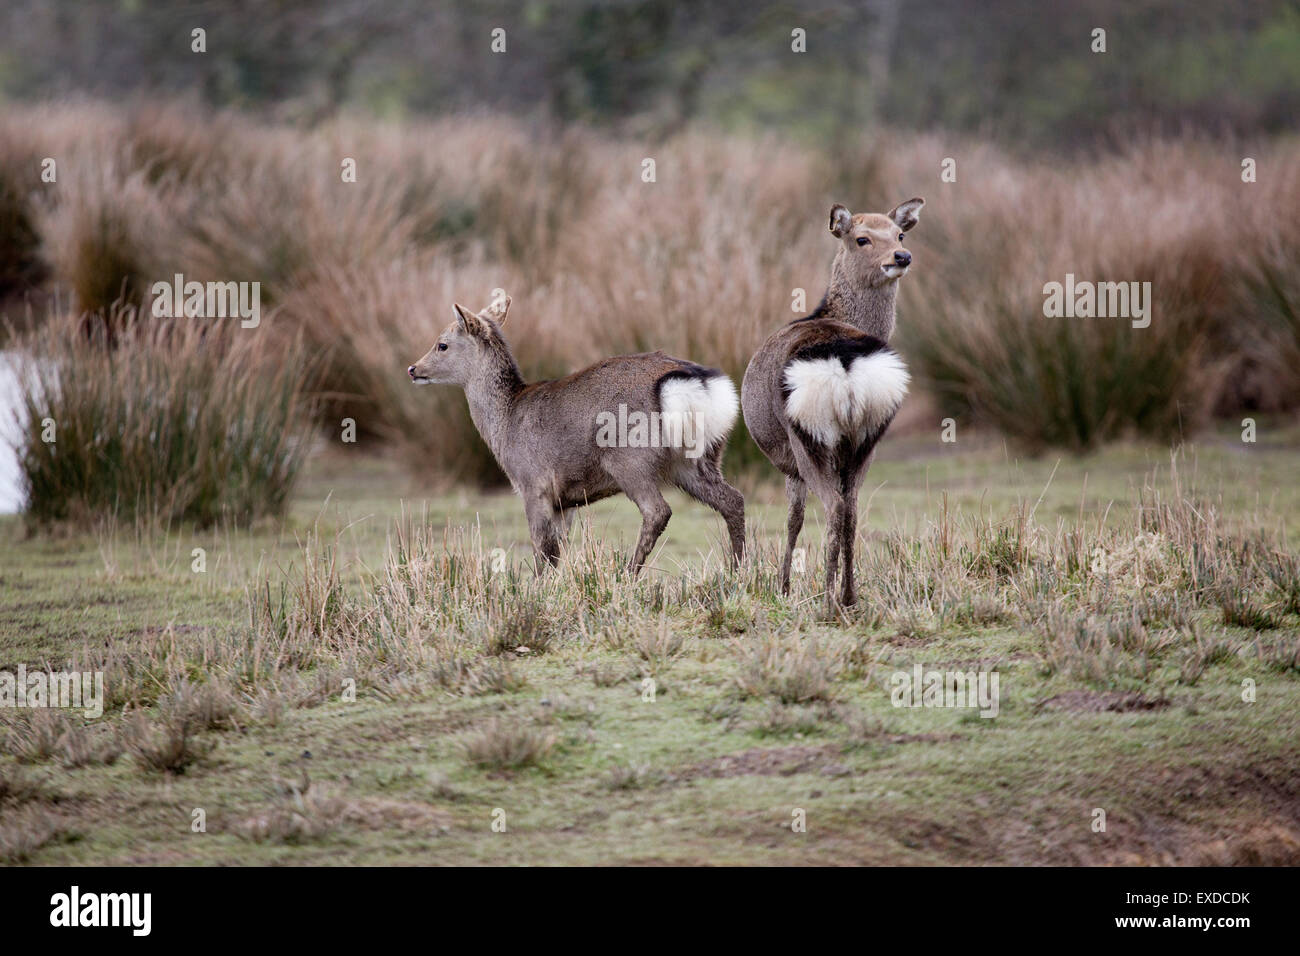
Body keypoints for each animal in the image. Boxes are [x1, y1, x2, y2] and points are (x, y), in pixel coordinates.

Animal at [408, 293, 746, 574]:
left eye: (442, 344)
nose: (413, 369)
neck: (504, 425)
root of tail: (695, 385)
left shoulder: (534, 484)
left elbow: (542, 551)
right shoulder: (565, 500)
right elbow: (557, 551)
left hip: (630, 459)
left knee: (658, 511)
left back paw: (626, 575)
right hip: (697, 459)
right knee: (733, 500)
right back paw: (737, 572)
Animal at [741, 198, 923, 613]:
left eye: (900, 235)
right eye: (862, 238)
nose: (902, 256)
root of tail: (845, 363)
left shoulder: (788, 462)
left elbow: (793, 519)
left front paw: (783, 587)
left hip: (808, 437)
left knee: (833, 508)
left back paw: (826, 600)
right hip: (870, 436)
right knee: (852, 508)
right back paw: (849, 596)